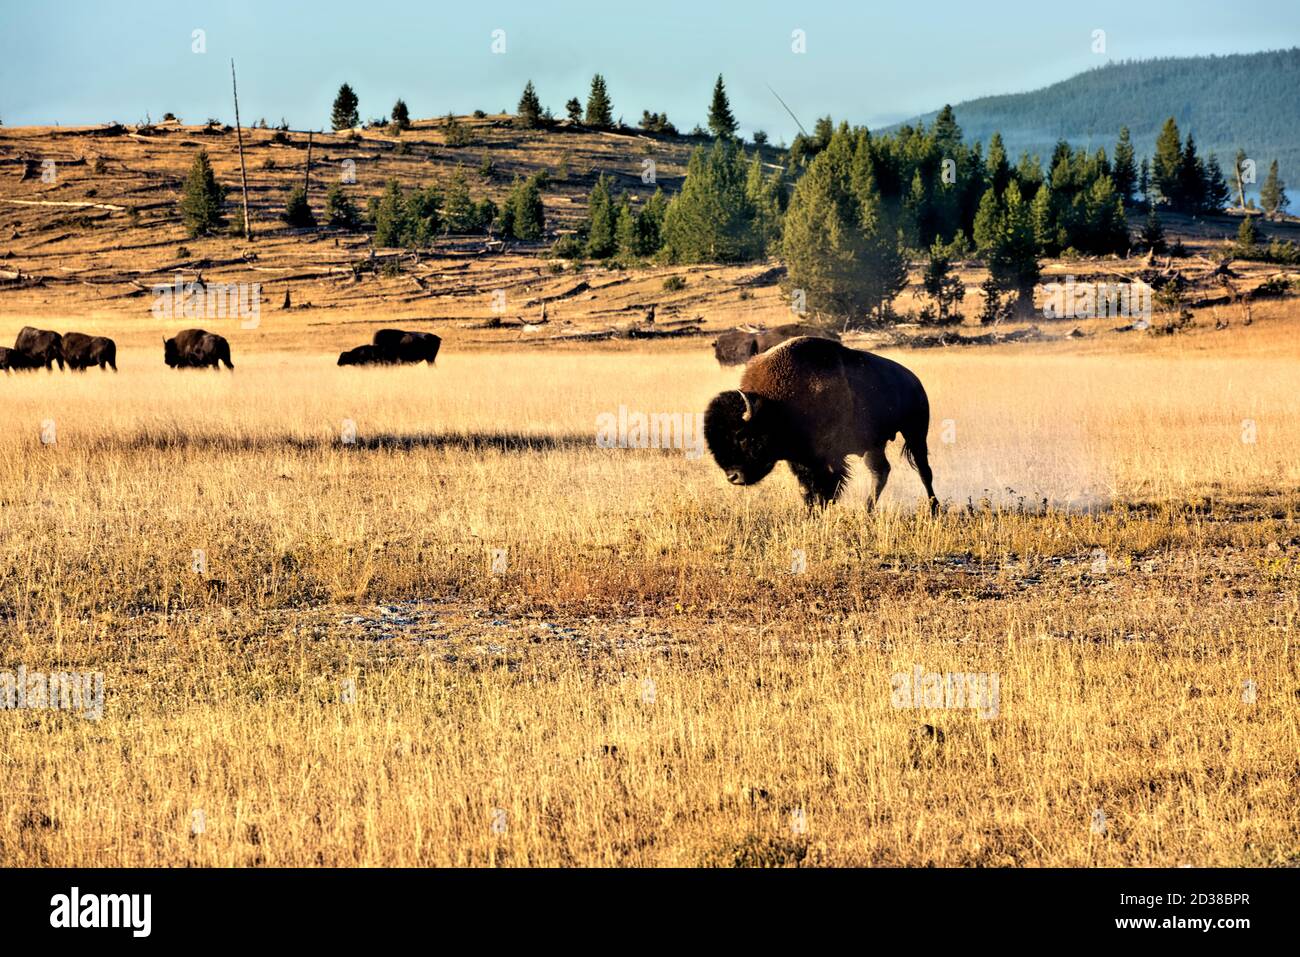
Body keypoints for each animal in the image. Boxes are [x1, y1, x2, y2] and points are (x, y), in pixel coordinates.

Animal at [704, 336, 938, 513]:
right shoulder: (801, 460)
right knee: (880, 472)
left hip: (915, 433)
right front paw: (810, 515)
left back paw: (933, 510)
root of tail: (914, 381)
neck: (776, 406)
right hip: (874, 445)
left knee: (924, 471)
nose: (733, 477)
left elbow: (828, 489)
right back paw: (867, 511)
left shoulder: (829, 459)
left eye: (742, 436)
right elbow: (807, 489)